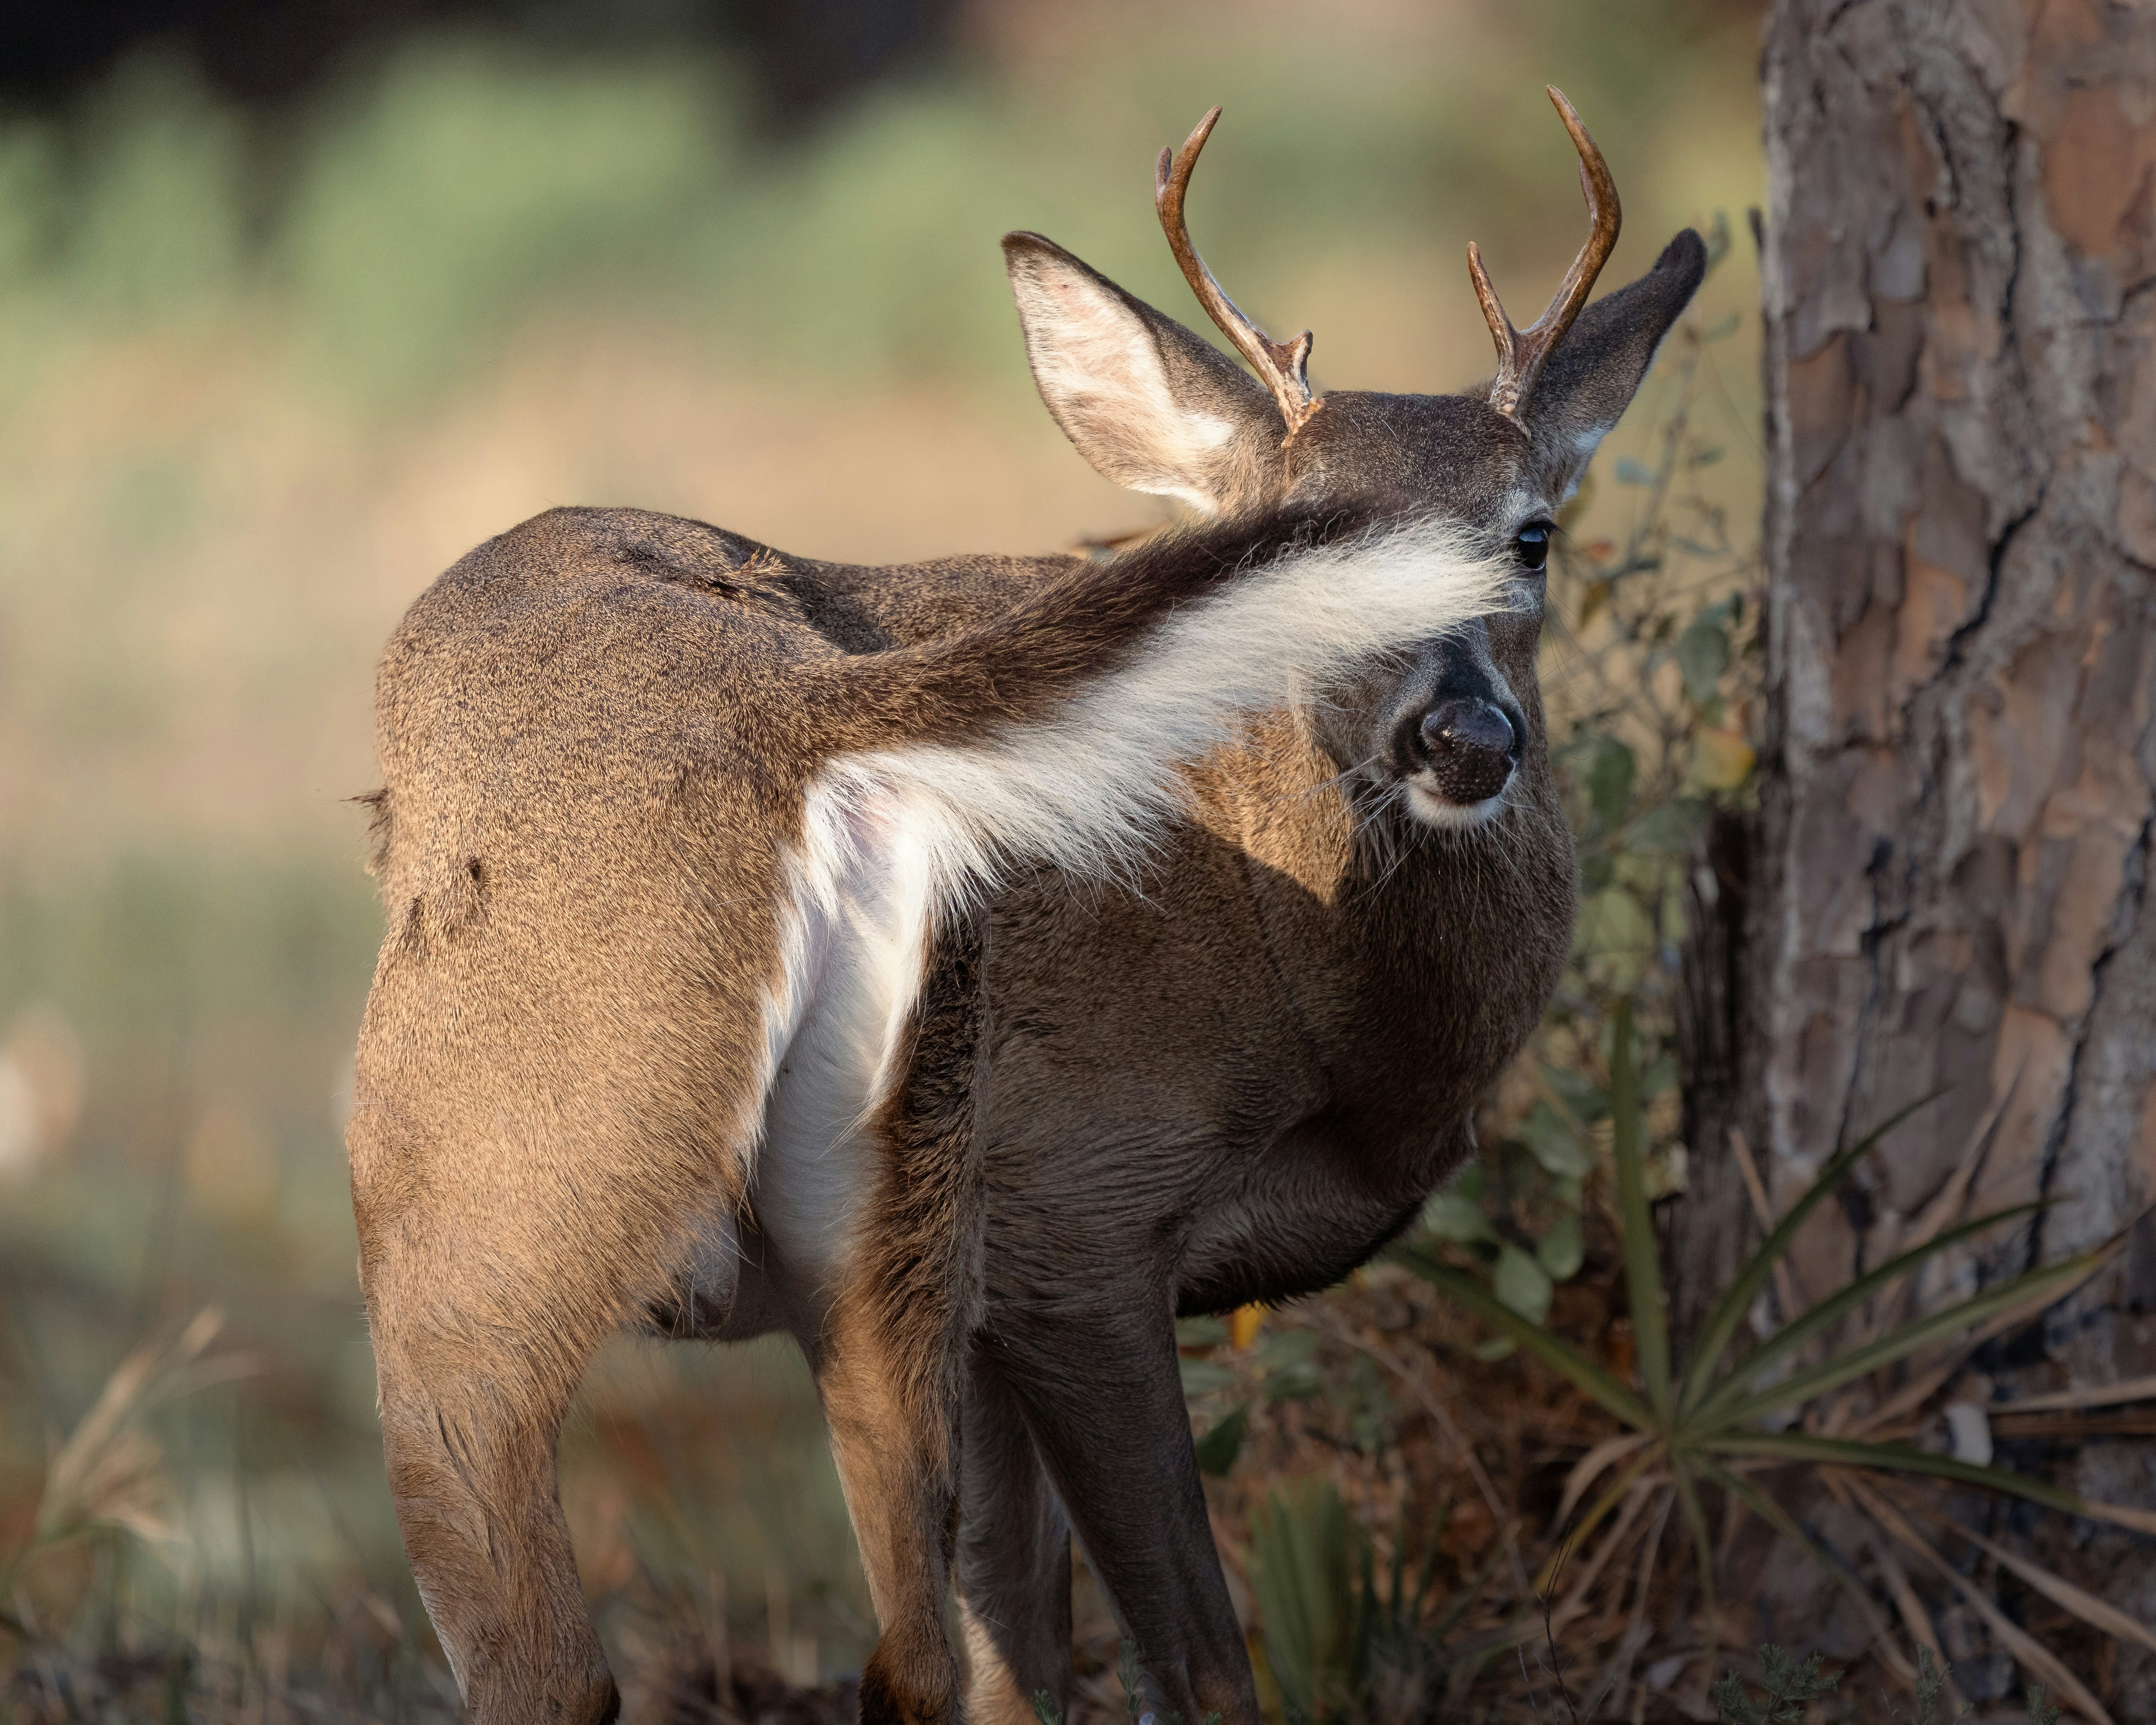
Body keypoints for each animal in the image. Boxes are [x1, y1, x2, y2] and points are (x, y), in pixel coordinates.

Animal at [347, 88, 1703, 1725]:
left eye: (1529, 531)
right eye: (1293, 538)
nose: (1462, 737)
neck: (1341, 1040)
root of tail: (795, 710)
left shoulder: (1025, 1253)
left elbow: (1076, 1646)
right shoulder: (1074, 1213)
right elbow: (1145, 1651)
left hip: (564, 1195)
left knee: (727, 1661)